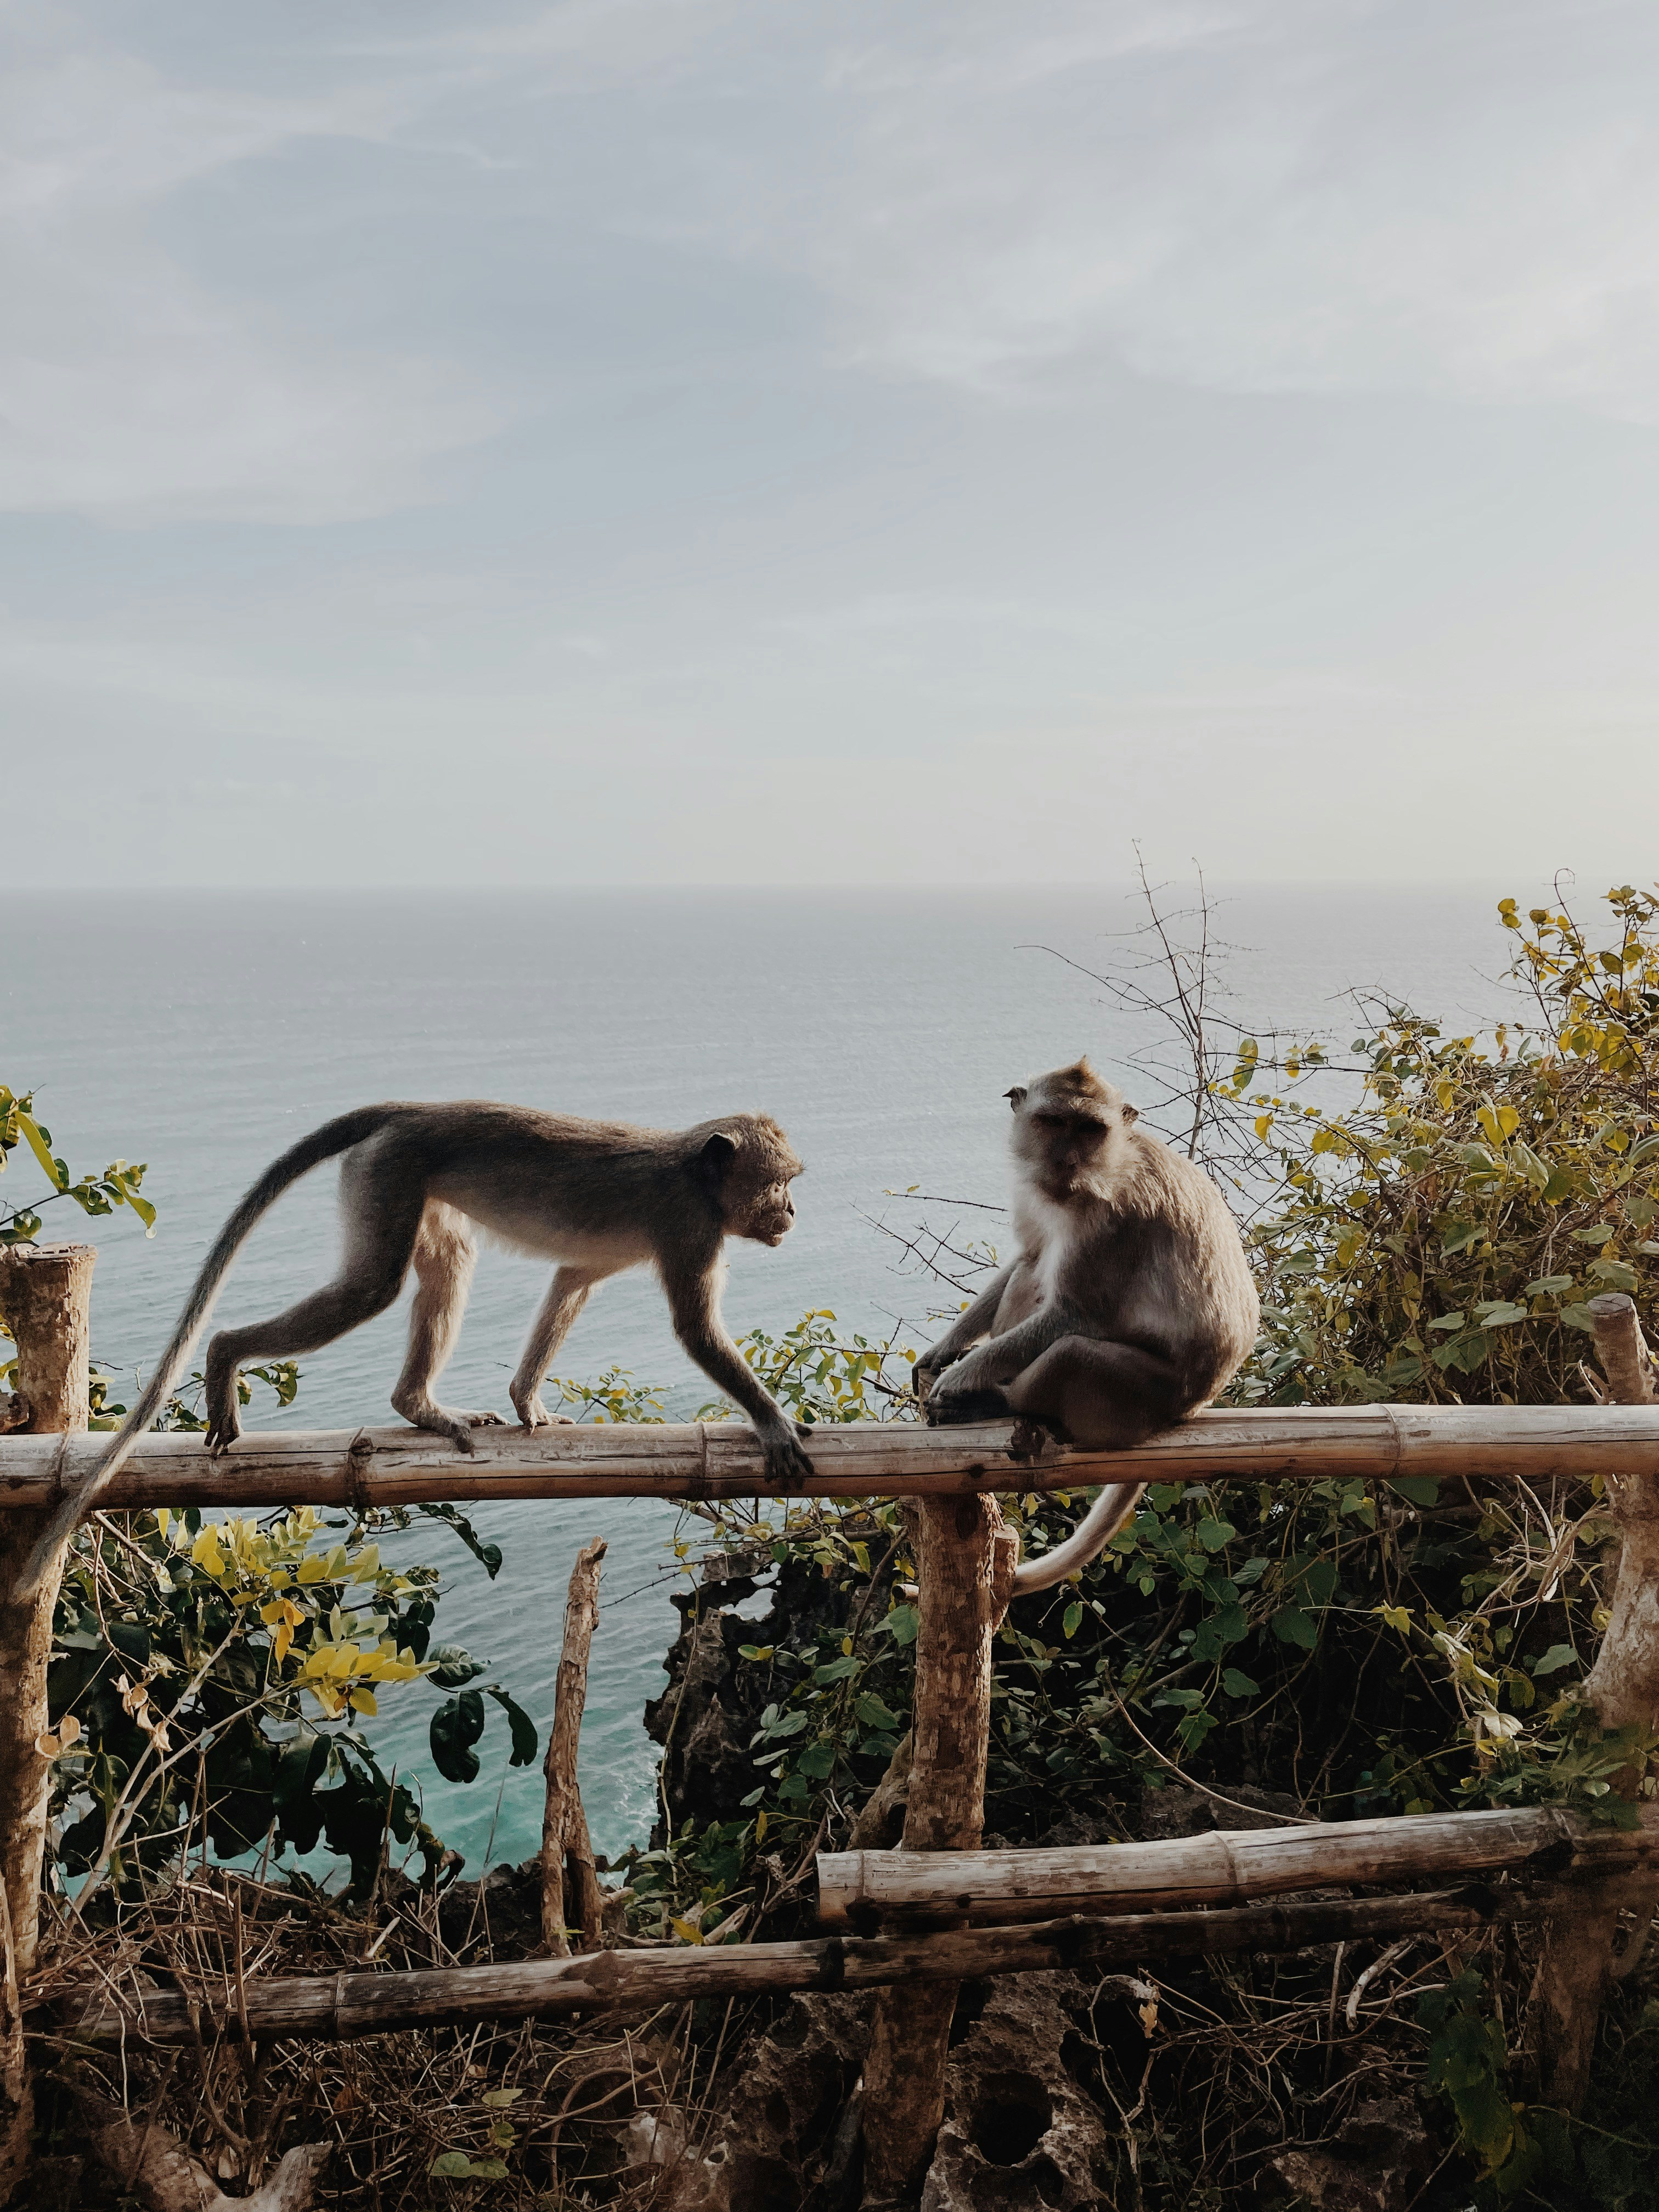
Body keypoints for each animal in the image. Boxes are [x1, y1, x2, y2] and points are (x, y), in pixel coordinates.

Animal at [20, 1100, 811, 1597]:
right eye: (779, 1183)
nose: (794, 1213)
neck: (696, 1176)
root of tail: (413, 1110)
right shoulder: (690, 1228)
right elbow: (696, 1331)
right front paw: (773, 1424)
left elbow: (571, 1281)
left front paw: (529, 1403)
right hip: (388, 1172)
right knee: (371, 1286)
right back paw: (223, 1356)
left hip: (402, 1180)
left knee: (448, 1261)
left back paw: (417, 1405)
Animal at [915, 1058, 1259, 1595]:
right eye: (1054, 1122)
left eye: (1089, 1129)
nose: (1067, 1161)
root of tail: (1198, 1404)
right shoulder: (1036, 1193)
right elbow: (1028, 1254)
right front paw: (945, 1349)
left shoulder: (1115, 1218)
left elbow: (1074, 1315)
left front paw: (958, 1378)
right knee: (1031, 1271)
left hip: (1145, 1395)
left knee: (1070, 1353)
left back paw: (996, 1402)